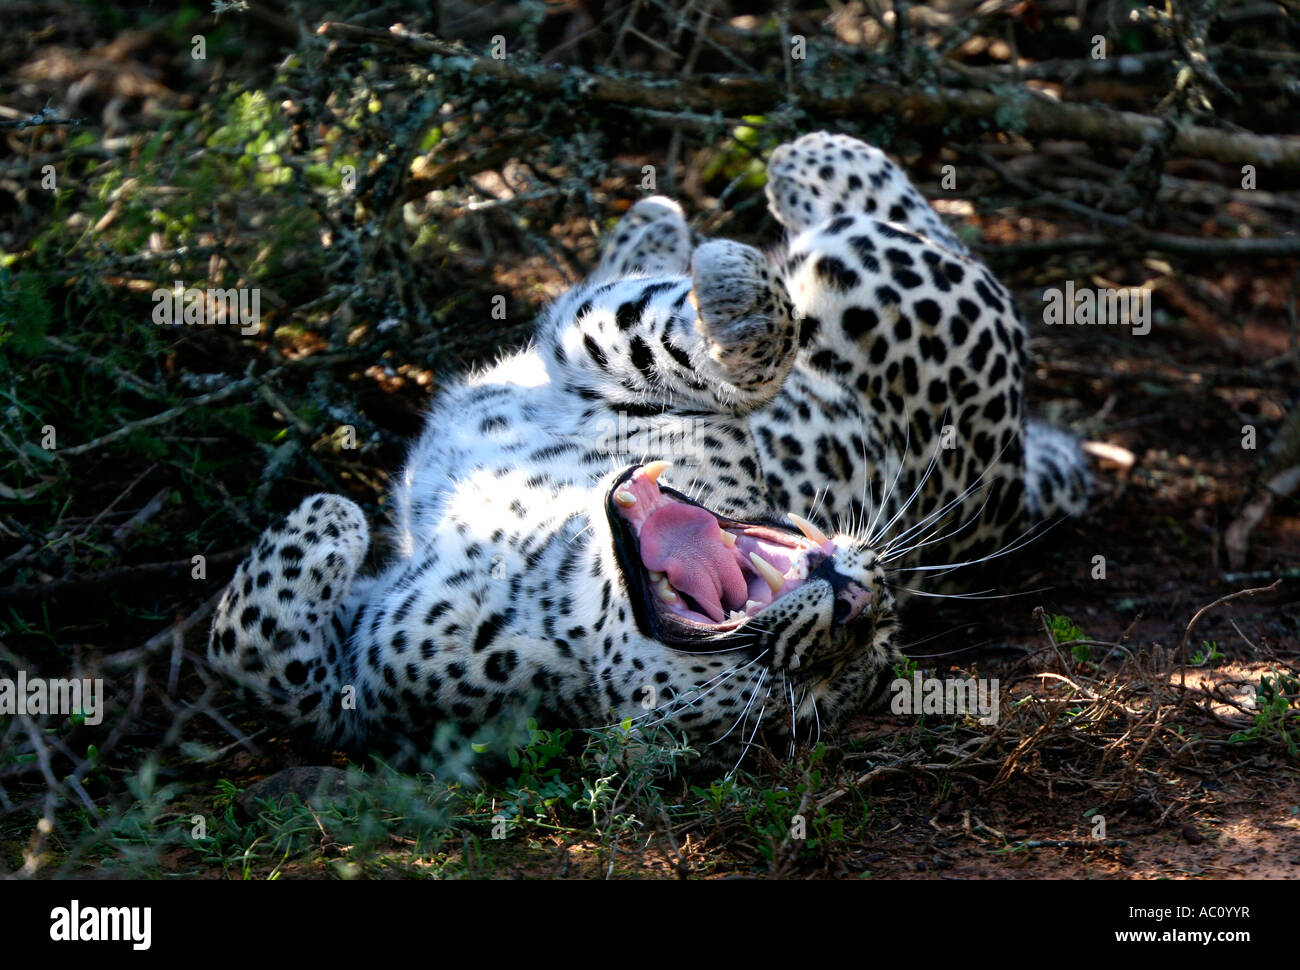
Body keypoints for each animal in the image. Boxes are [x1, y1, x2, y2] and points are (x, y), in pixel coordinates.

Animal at [207, 132, 1089, 769]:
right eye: (841, 661)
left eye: (807, 690)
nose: (855, 609)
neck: (563, 565)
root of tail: (1005, 484)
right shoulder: (621, 378)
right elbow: (711, 332)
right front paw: (726, 291)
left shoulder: (364, 691)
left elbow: (259, 656)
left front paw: (327, 520)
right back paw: (680, 215)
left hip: (895, 288)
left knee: (913, 232)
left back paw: (800, 162)